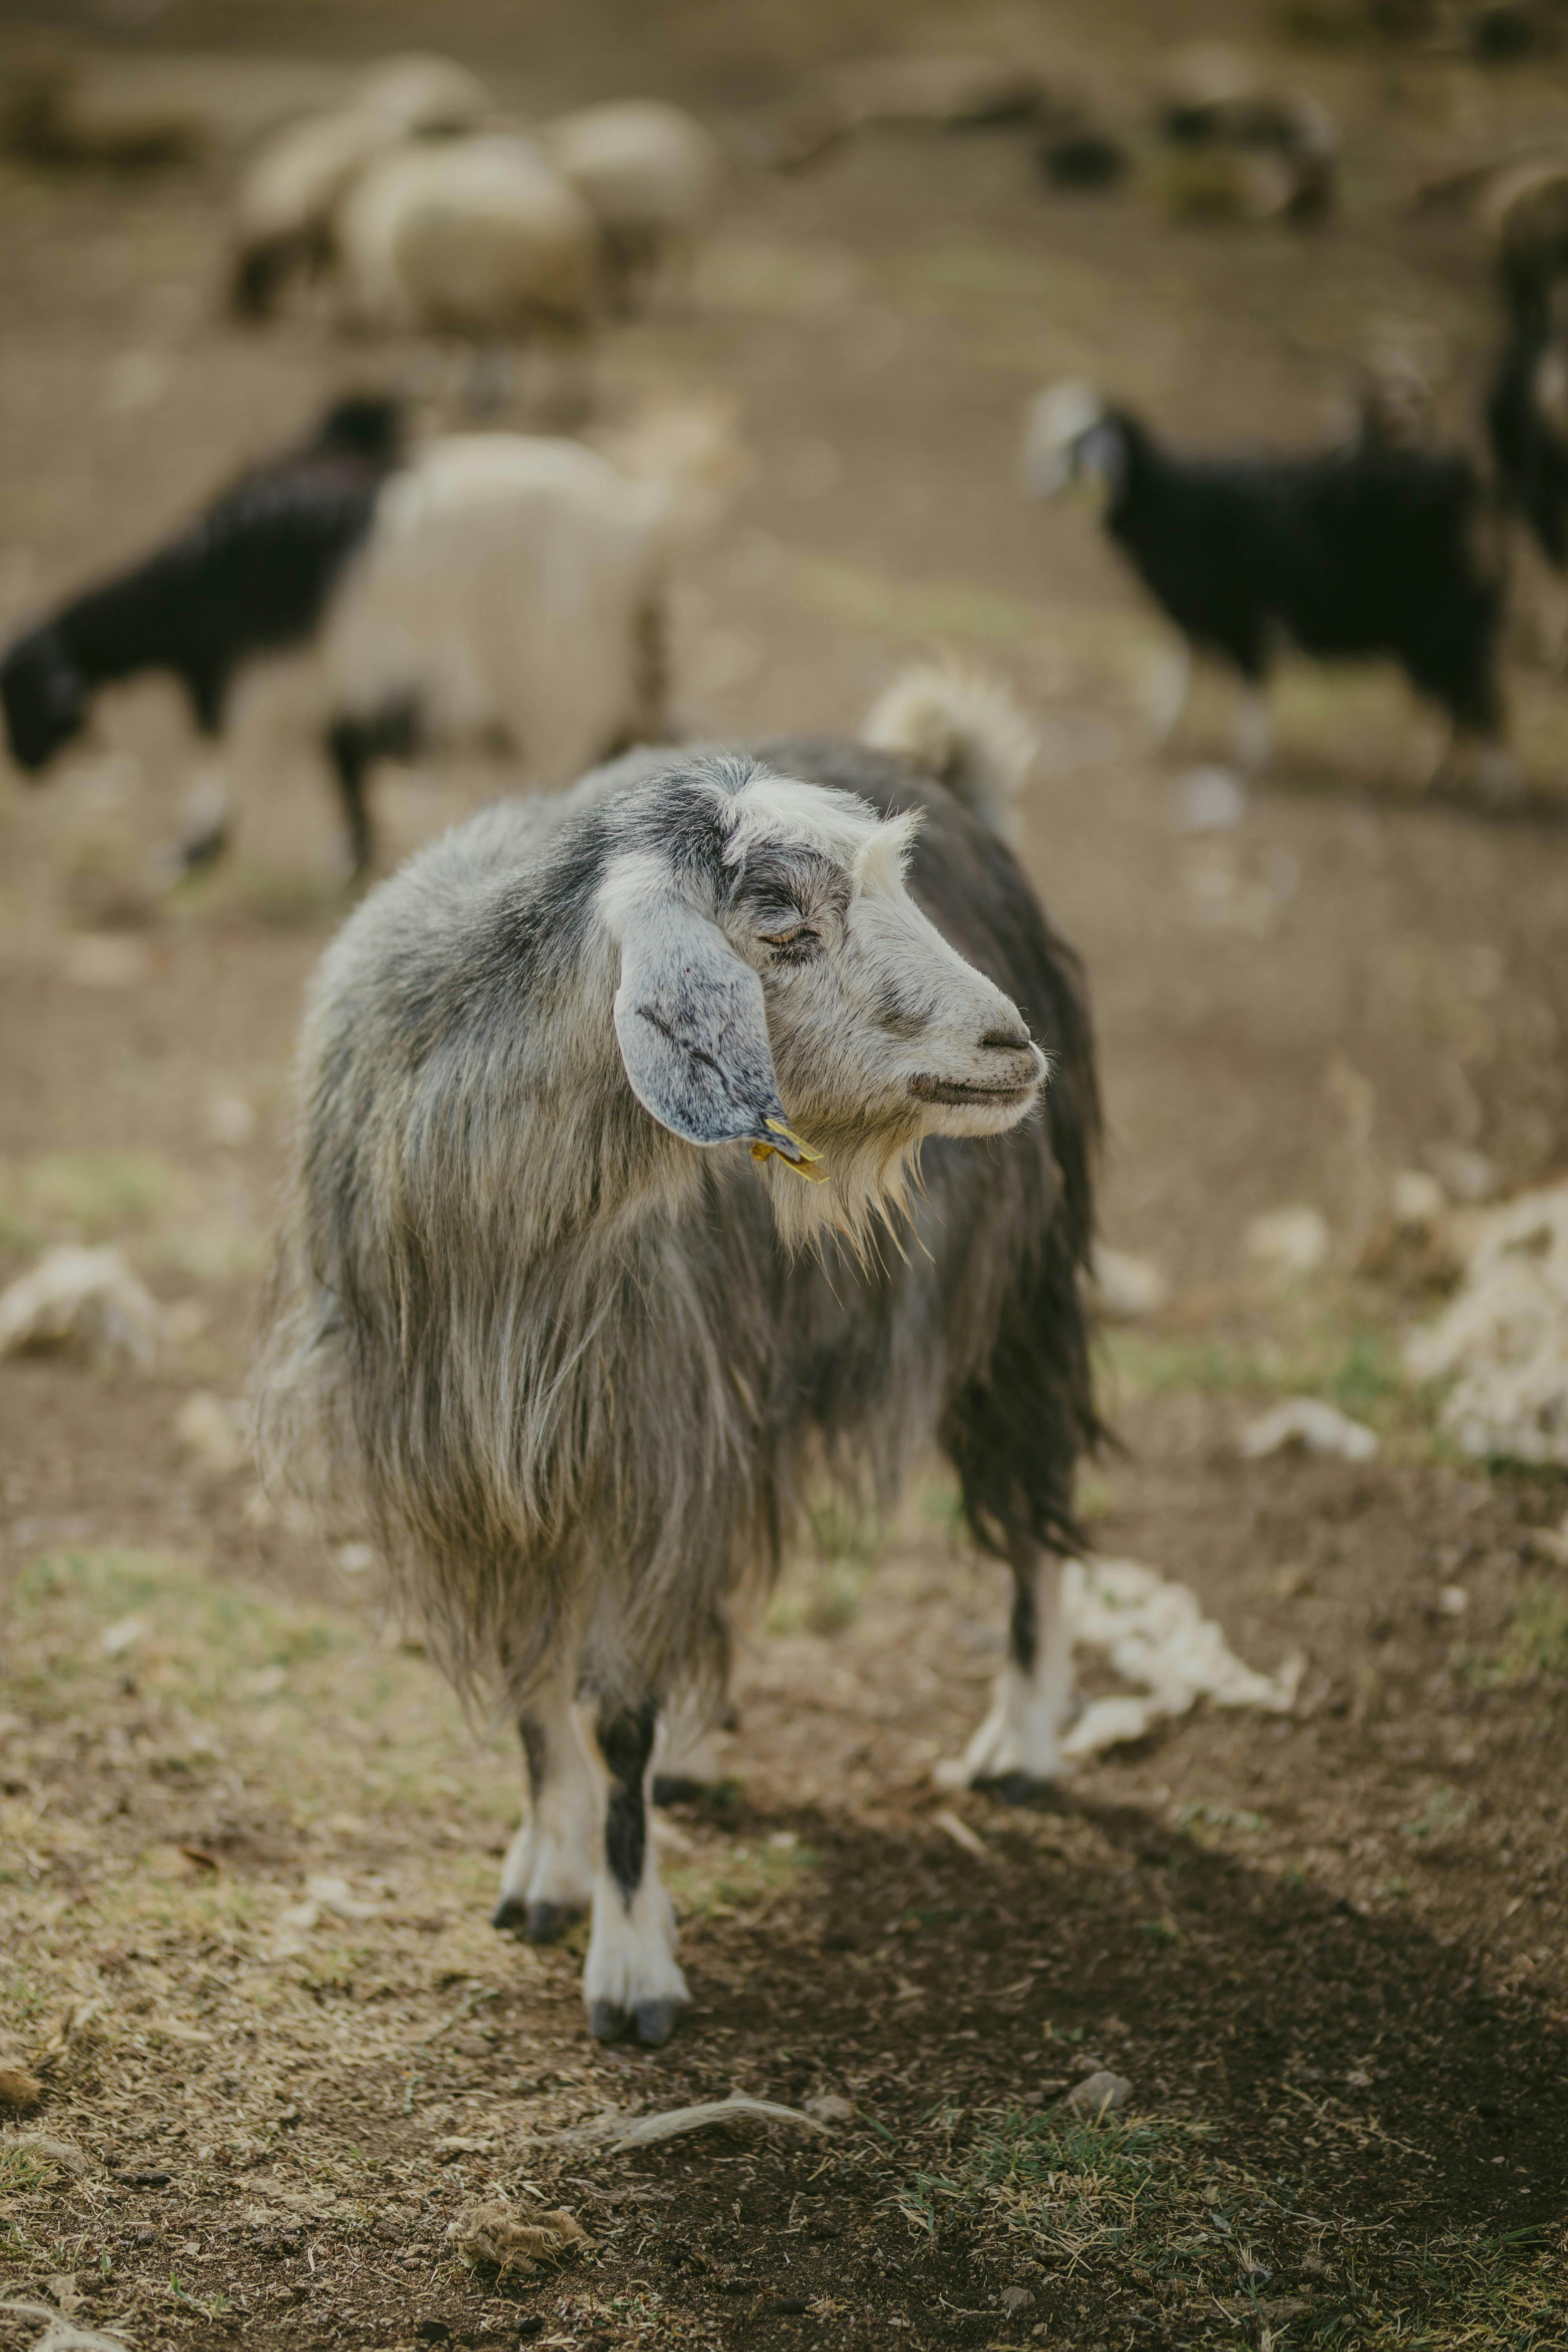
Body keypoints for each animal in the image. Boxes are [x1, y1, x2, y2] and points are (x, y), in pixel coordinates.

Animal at [1, 397, 674, 877]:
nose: (23, 766)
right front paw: (352, 851)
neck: (200, 581)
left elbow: (235, 763)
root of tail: (634, 533)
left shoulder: (263, 677)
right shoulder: (330, 674)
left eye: (24, 700)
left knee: (590, 745)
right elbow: (343, 761)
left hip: (552, 666)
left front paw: (193, 850)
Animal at [256, 668, 1099, 2045]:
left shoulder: (645, 1447)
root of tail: (949, 769)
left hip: (1017, 1295)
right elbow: (536, 1694)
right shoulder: (475, 1477)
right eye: (783, 925)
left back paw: (1020, 1743)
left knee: (1031, 1510)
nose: (1009, 1049)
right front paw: (546, 1868)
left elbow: (615, 1715)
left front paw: (633, 1966)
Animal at [1025, 381, 1514, 793]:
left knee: (1477, 695)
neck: (1164, 498)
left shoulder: (1238, 615)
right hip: (1427, 629)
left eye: (1076, 452)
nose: (1040, 487)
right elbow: (1181, 672)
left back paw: (1495, 787)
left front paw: (1248, 760)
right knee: (1455, 699)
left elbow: (1248, 682)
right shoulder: (1193, 613)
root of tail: (1455, 482)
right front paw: (1161, 733)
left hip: (1436, 617)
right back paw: (1436, 772)